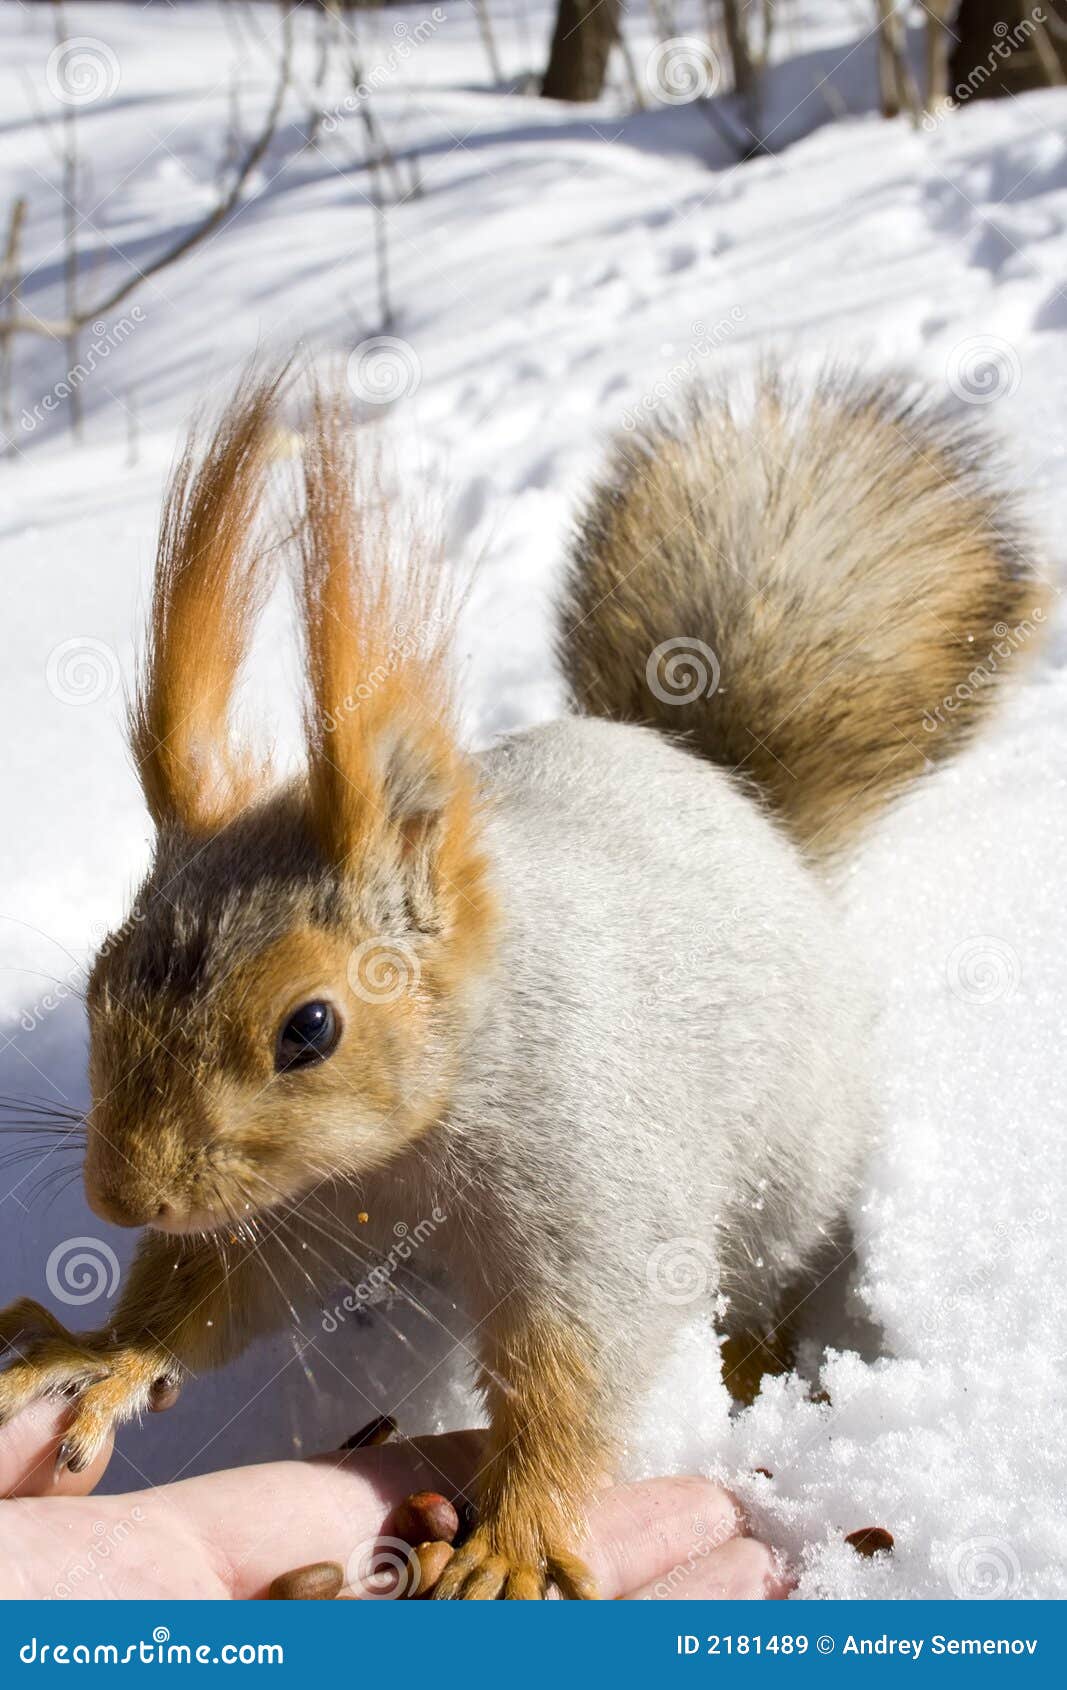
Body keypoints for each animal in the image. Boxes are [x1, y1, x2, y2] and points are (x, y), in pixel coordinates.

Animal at [0, 365, 1046, 1599]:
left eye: (310, 1026)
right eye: (99, 984)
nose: (123, 1199)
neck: (401, 1156)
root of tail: (733, 794)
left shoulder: (590, 1177)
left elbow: (581, 1353)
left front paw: (512, 1533)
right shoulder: (292, 1209)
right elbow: (217, 1294)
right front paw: (100, 1354)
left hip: (792, 1170)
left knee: (765, 1272)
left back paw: (750, 1359)